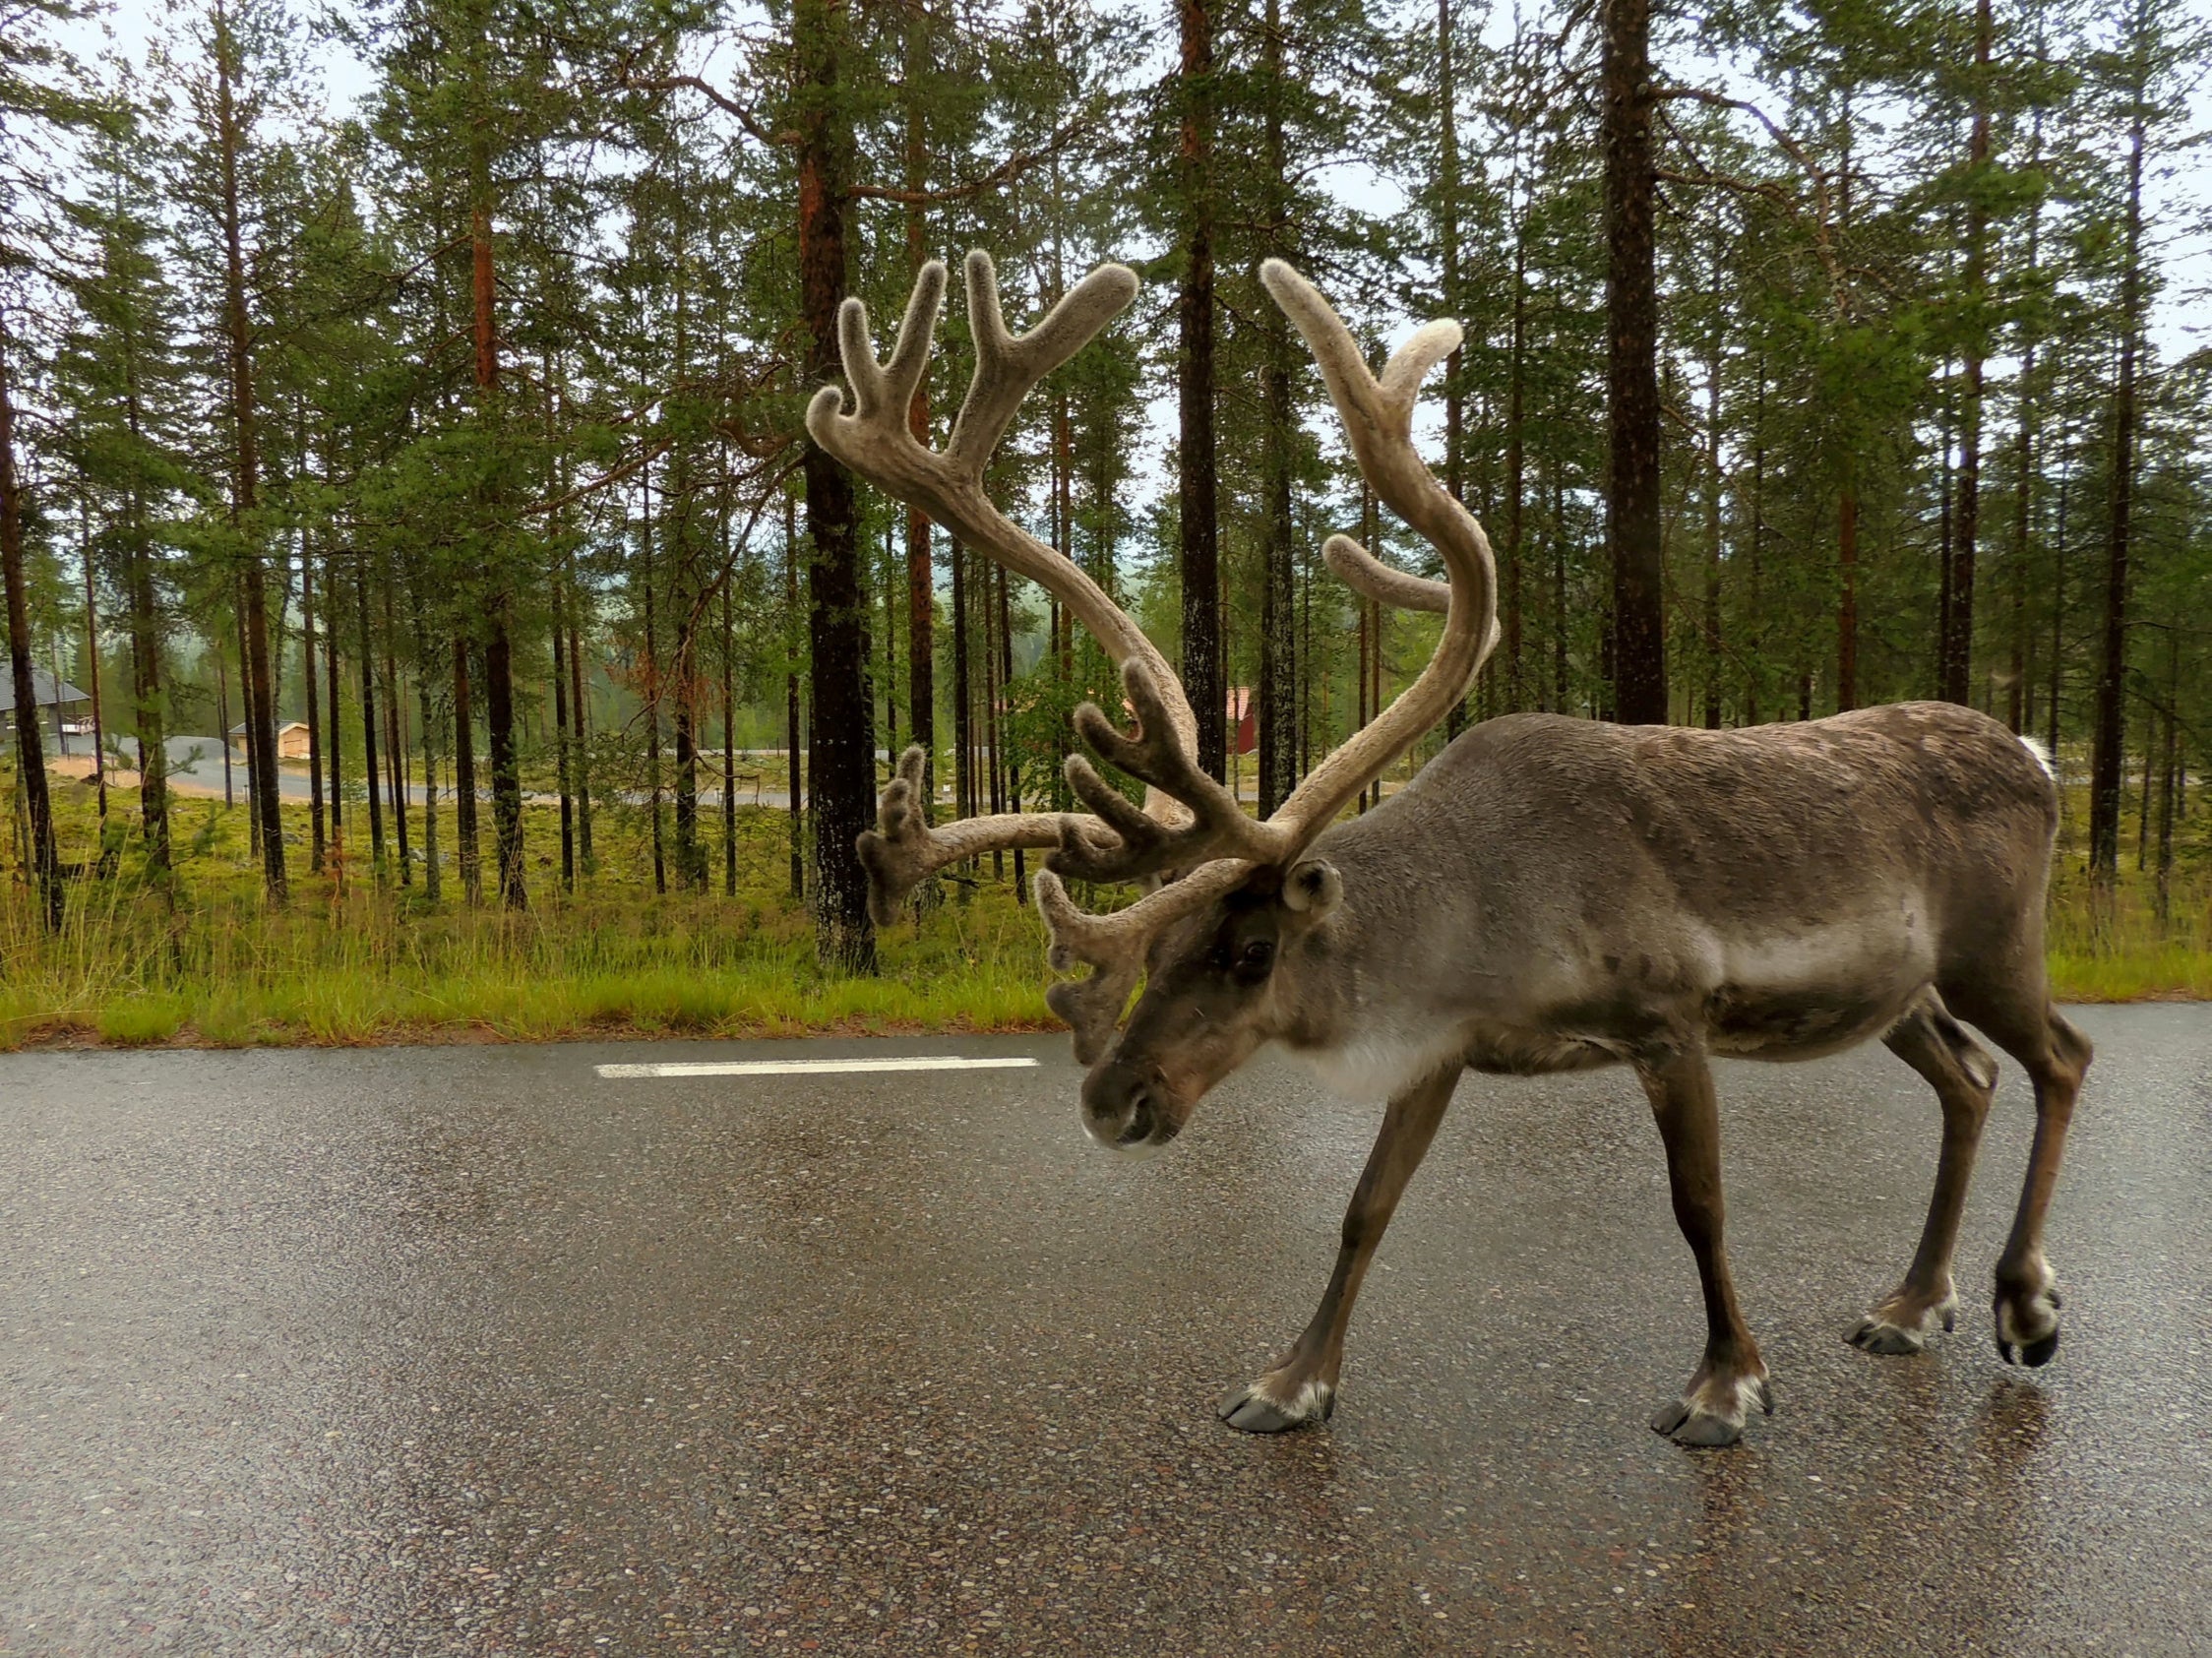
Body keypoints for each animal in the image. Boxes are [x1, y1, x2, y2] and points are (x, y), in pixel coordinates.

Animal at [806, 251, 2091, 1448]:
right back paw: (1912, 1303)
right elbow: (1365, 1205)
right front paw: (1290, 1381)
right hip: (1899, 991)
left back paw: (2022, 1303)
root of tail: (2037, 755)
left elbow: (1700, 1205)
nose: (1108, 1100)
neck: (1472, 918)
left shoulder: (1669, 1019)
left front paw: (1725, 1386)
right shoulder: (1443, 1043)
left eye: (1251, 949)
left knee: (2060, 1058)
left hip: (1994, 946)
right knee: (1969, 1078)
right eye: (1160, 943)